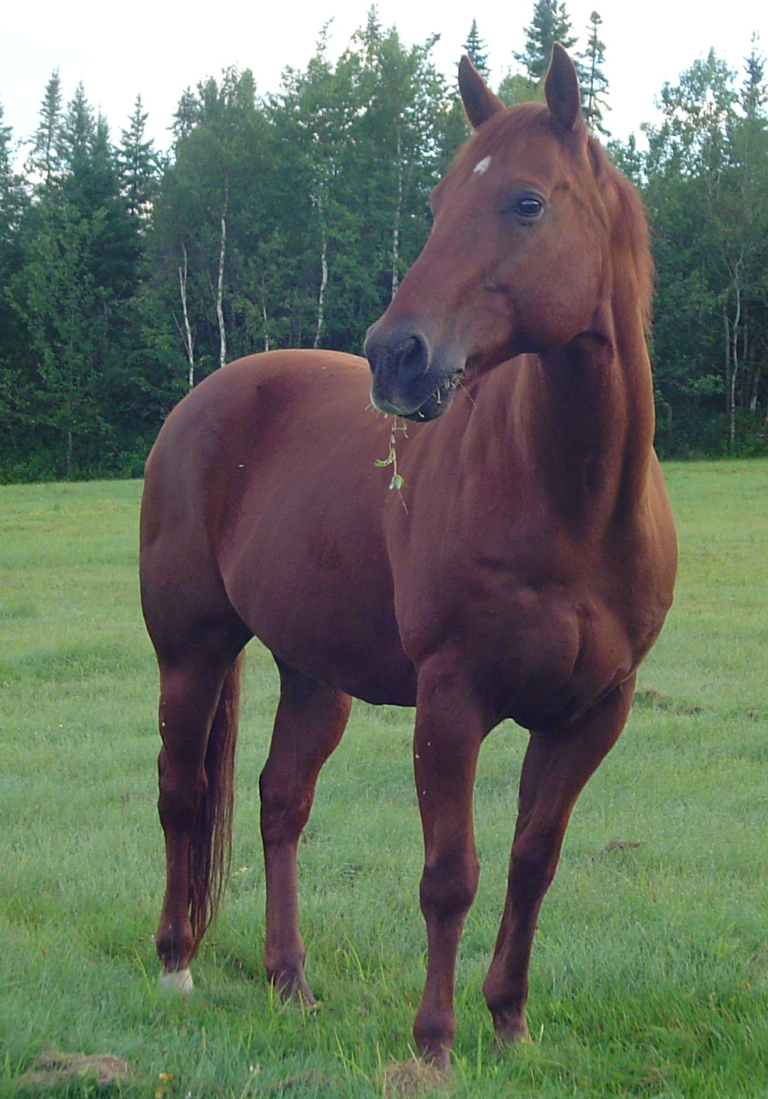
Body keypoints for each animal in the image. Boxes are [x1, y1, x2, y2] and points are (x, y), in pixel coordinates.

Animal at [139, 44, 677, 1069]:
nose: (396, 356)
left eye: (525, 202)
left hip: (315, 673)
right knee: (183, 798)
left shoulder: (594, 712)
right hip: (192, 653)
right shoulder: (452, 700)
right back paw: (178, 965)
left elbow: (533, 862)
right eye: (434, 202)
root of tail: (207, 397)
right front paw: (434, 1040)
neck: (573, 504)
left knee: (280, 803)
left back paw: (290, 980)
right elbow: (449, 874)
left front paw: (509, 1023)